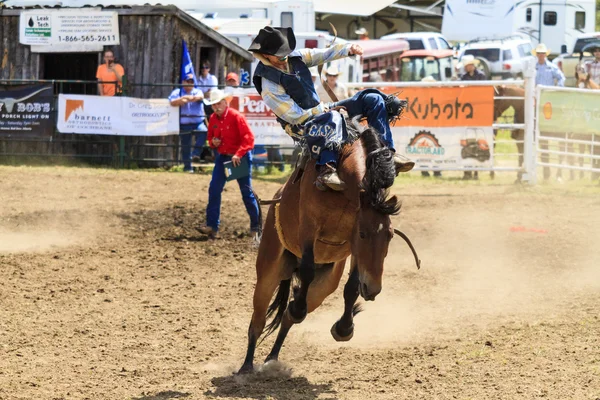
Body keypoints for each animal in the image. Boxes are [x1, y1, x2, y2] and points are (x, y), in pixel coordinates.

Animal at [237, 120, 420, 374]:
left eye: (390, 236)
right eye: (363, 234)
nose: (373, 289)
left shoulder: (353, 253)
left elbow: (352, 287)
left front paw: (344, 328)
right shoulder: (309, 229)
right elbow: (307, 271)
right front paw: (301, 309)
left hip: (324, 285)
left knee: (287, 317)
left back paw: (272, 358)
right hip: (269, 270)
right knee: (259, 319)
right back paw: (246, 367)